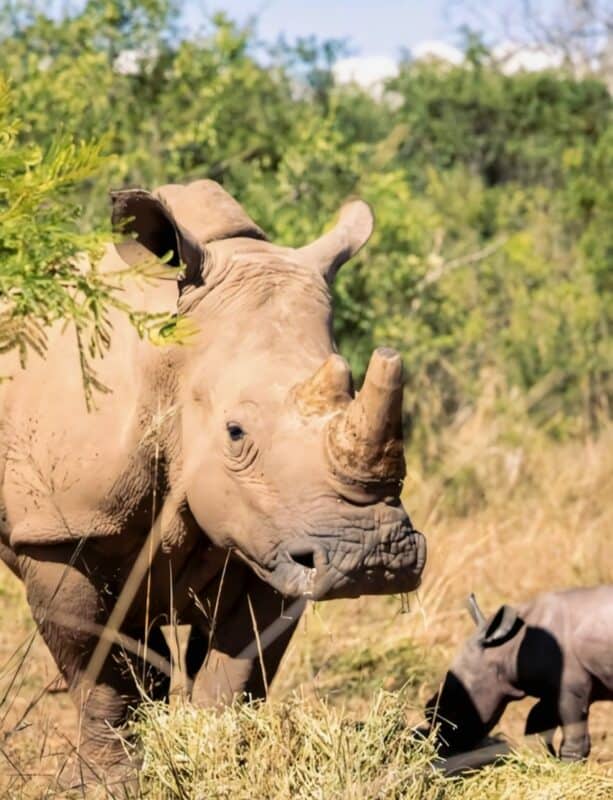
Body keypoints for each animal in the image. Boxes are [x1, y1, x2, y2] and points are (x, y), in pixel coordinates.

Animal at [0, 180, 426, 763]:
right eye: (235, 432)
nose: (374, 558)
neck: (171, 365)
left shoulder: (278, 534)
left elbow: (237, 674)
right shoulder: (62, 528)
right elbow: (104, 684)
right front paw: (116, 776)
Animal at [425, 587, 613, 761]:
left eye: (456, 704)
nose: (429, 717)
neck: (508, 647)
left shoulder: (571, 688)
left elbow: (573, 734)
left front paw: (567, 766)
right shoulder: (551, 689)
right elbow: (537, 722)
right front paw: (543, 759)